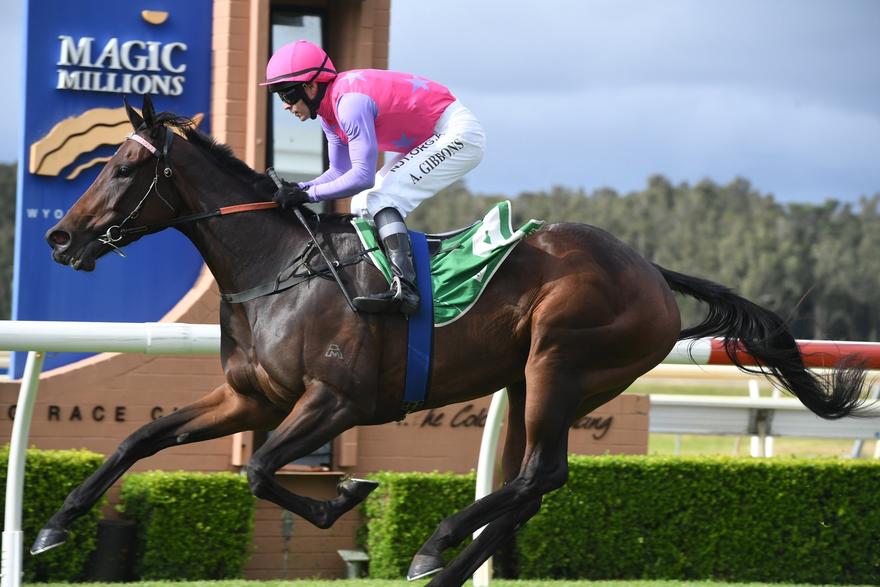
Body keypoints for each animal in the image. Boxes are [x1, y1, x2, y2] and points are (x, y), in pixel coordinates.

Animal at [39, 95, 868, 586]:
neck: (276, 269)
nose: (59, 236)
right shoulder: (252, 397)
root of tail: (652, 271)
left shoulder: (336, 401)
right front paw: (54, 524)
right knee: (537, 480)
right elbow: (141, 439)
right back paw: (446, 565)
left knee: (537, 473)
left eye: (123, 165)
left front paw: (350, 495)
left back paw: (434, 545)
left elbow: (263, 469)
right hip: (537, 378)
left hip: (558, 358)